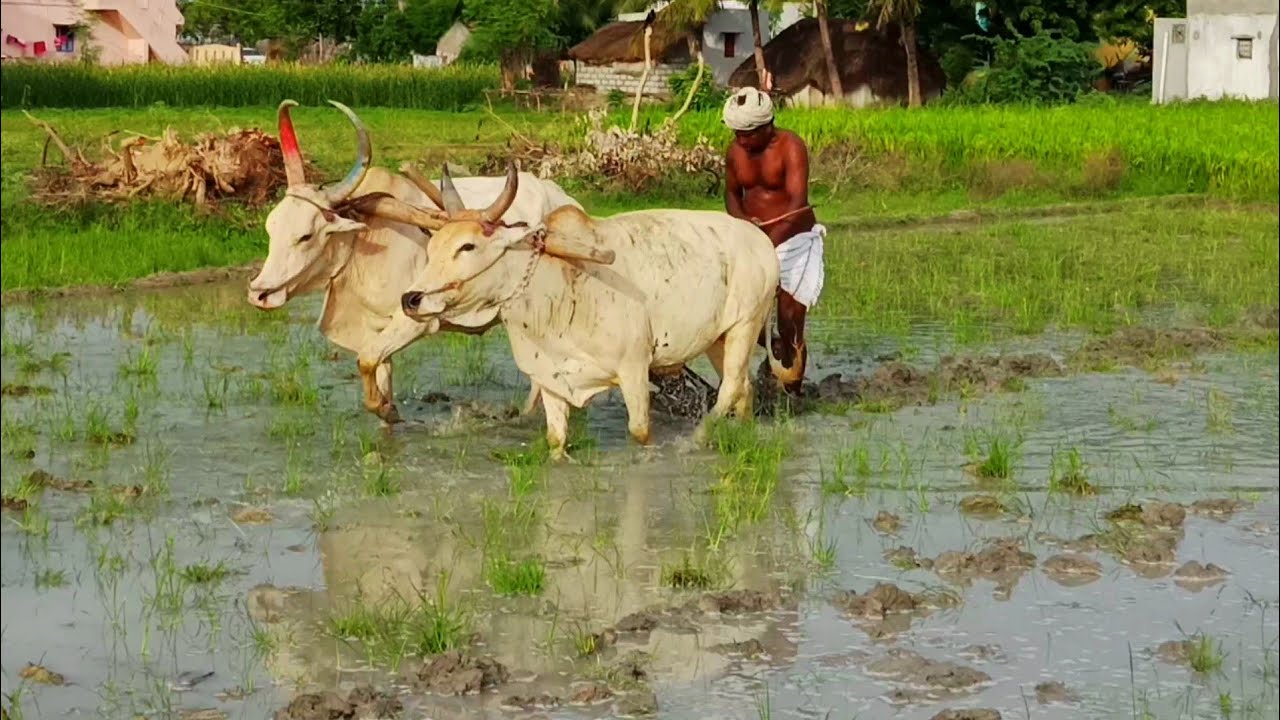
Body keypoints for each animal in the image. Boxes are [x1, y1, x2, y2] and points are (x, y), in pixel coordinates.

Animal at [245, 99, 582, 424]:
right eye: (271, 228)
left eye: (305, 236)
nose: (258, 293)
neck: (363, 238)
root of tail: (566, 200)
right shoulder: (375, 327)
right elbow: (380, 371)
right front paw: (387, 412)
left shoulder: (413, 320)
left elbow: (366, 359)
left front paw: (385, 409)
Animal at [356, 164, 790, 459]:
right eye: (431, 247)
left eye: (468, 246)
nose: (411, 299)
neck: (555, 287)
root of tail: (760, 239)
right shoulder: (550, 378)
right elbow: (555, 439)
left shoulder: (634, 370)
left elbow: (640, 432)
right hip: (720, 337)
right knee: (743, 390)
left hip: (746, 324)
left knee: (730, 388)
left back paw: (698, 438)